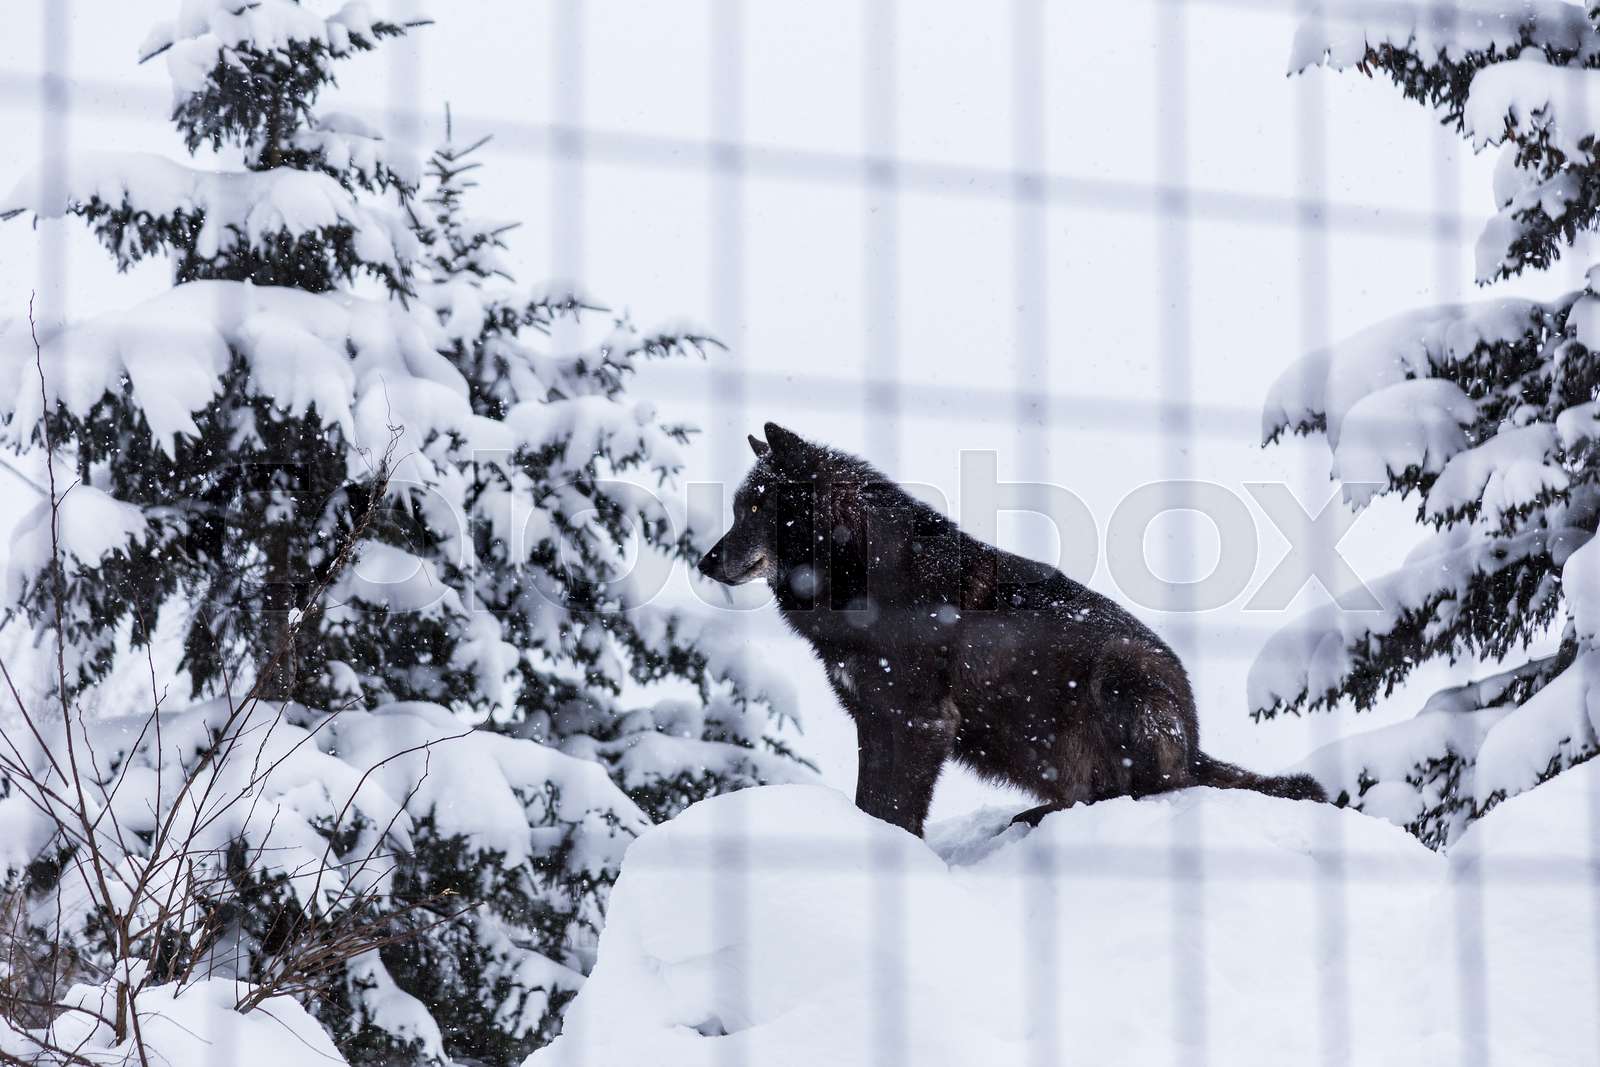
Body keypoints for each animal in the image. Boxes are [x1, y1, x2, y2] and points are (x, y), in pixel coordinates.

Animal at [698, 423, 1325, 837]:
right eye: (736, 509)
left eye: (755, 510)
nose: (704, 562)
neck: (867, 579)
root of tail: (1195, 740)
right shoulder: (872, 718)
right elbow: (870, 802)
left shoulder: (919, 722)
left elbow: (895, 809)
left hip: (1123, 671)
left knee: (1159, 791)